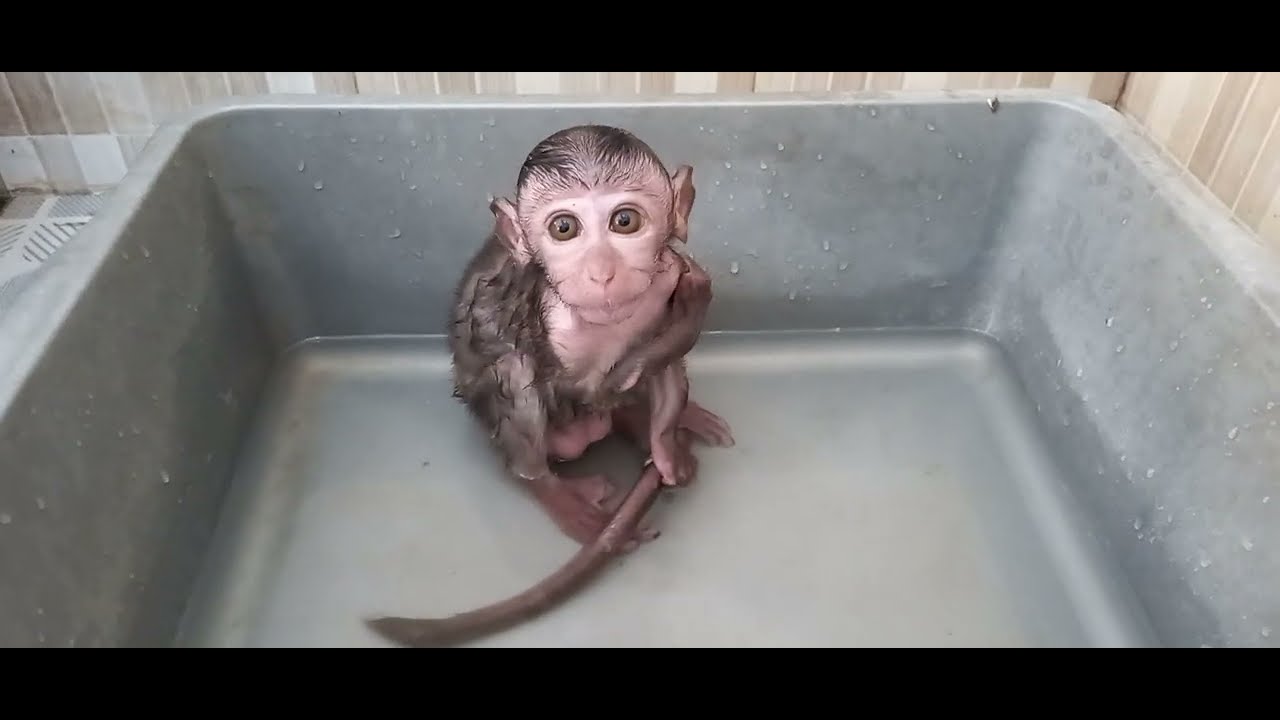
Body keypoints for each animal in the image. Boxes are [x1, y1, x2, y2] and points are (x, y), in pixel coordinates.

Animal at [445, 124, 734, 548]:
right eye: (564, 228)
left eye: (625, 221)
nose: (601, 272)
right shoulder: (558, 319)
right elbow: (587, 383)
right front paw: (693, 299)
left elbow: (664, 367)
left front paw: (665, 449)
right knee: (515, 371)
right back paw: (560, 494)